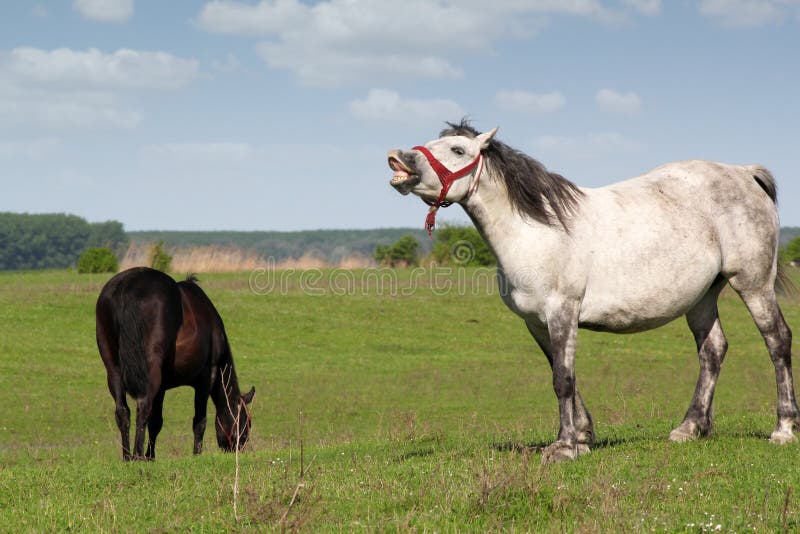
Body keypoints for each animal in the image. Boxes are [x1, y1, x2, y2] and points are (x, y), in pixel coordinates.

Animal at [96, 267, 255, 461]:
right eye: (246, 424)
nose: (237, 450)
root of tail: (127, 285)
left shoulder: (162, 387)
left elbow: (156, 422)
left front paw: (151, 457)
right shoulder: (206, 377)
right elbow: (199, 421)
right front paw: (196, 455)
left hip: (114, 370)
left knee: (122, 411)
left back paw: (127, 457)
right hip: (150, 373)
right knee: (143, 408)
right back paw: (137, 456)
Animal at [387, 119, 796, 464]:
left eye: (457, 150)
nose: (400, 159)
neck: (537, 230)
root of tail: (744, 173)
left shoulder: (562, 310)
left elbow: (563, 378)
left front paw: (565, 447)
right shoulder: (537, 322)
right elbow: (560, 372)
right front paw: (582, 436)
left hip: (753, 283)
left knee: (777, 341)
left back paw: (784, 429)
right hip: (702, 297)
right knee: (712, 351)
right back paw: (690, 428)